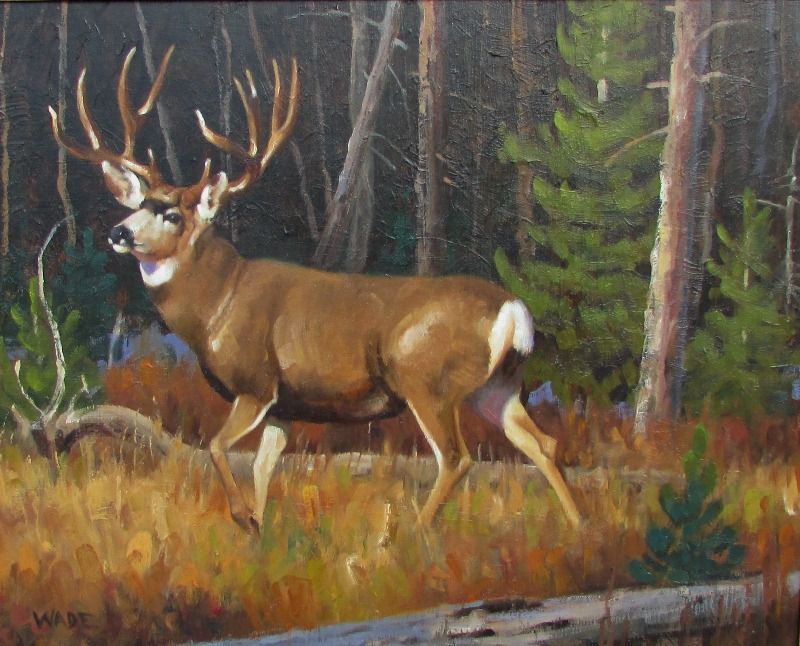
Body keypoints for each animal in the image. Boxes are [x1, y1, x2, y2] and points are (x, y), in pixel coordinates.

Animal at [49, 46, 582, 534]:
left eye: (172, 214)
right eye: (140, 202)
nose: (118, 232)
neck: (216, 306)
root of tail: (514, 310)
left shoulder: (256, 383)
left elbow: (216, 445)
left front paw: (242, 516)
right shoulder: (284, 406)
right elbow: (264, 467)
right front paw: (258, 527)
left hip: (427, 381)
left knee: (457, 458)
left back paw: (413, 532)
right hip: (498, 386)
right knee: (543, 444)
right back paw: (580, 527)